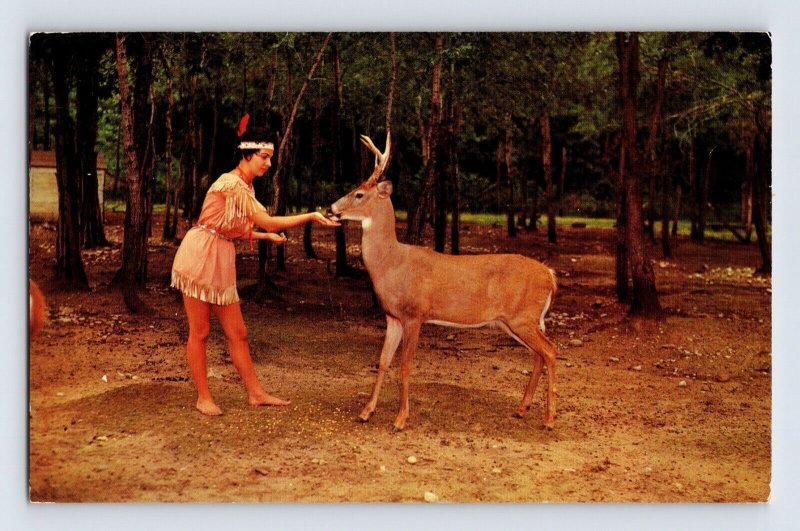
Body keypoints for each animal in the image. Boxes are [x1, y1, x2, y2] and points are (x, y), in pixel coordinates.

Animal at [329, 134, 558, 432]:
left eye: (359, 193)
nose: (331, 209)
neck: (392, 264)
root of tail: (550, 275)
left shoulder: (415, 314)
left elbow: (405, 365)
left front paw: (400, 419)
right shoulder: (392, 317)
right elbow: (382, 361)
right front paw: (366, 412)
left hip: (524, 318)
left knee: (550, 351)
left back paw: (549, 419)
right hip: (513, 322)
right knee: (539, 354)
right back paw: (521, 409)